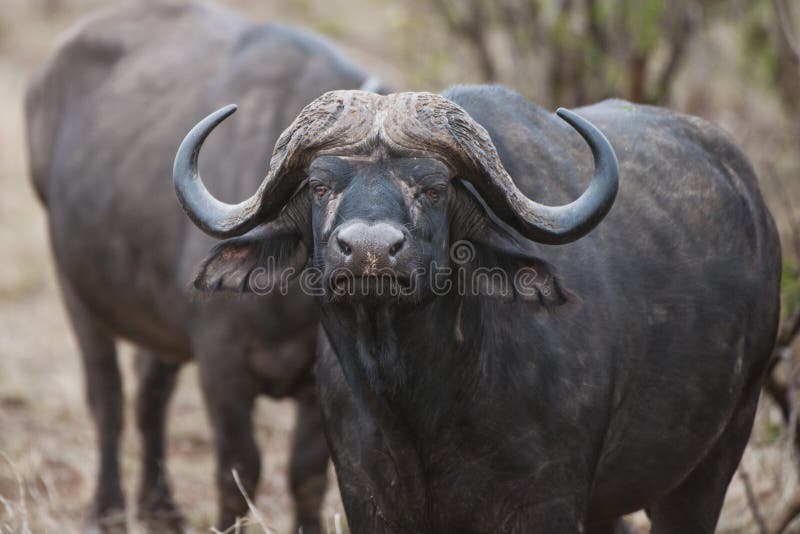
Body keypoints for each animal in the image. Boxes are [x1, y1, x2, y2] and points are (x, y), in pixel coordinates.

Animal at [25, 1, 381, 531]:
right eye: (320, 187)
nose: (365, 249)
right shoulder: (220, 362)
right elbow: (239, 468)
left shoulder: (325, 381)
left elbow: (307, 475)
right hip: (77, 287)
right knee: (107, 398)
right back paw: (107, 509)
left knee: (151, 396)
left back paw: (161, 508)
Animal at [175, 87, 781, 532]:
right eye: (321, 186)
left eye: (435, 188)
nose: (369, 250)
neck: (424, 402)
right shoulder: (366, 497)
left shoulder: (546, 502)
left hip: (713, 462)